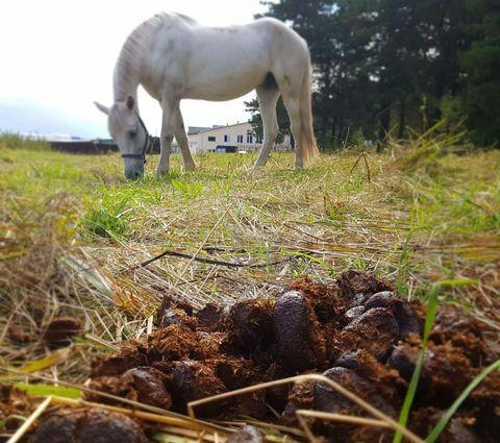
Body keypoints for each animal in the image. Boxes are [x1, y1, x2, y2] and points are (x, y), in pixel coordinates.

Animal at [95, 13, 318, 181]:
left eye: (132, 132)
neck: (155, 45)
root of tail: (299, 40)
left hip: (290, 91)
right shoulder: (170, 99)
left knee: (296, 126)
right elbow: (180, 133)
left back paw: (298, 166)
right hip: (267, 90)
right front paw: (190, 168)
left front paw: (162, 171)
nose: (132, 175)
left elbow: (167, 133)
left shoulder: (169, 96)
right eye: (113, 136)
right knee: (271, 130)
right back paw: (256, 168)